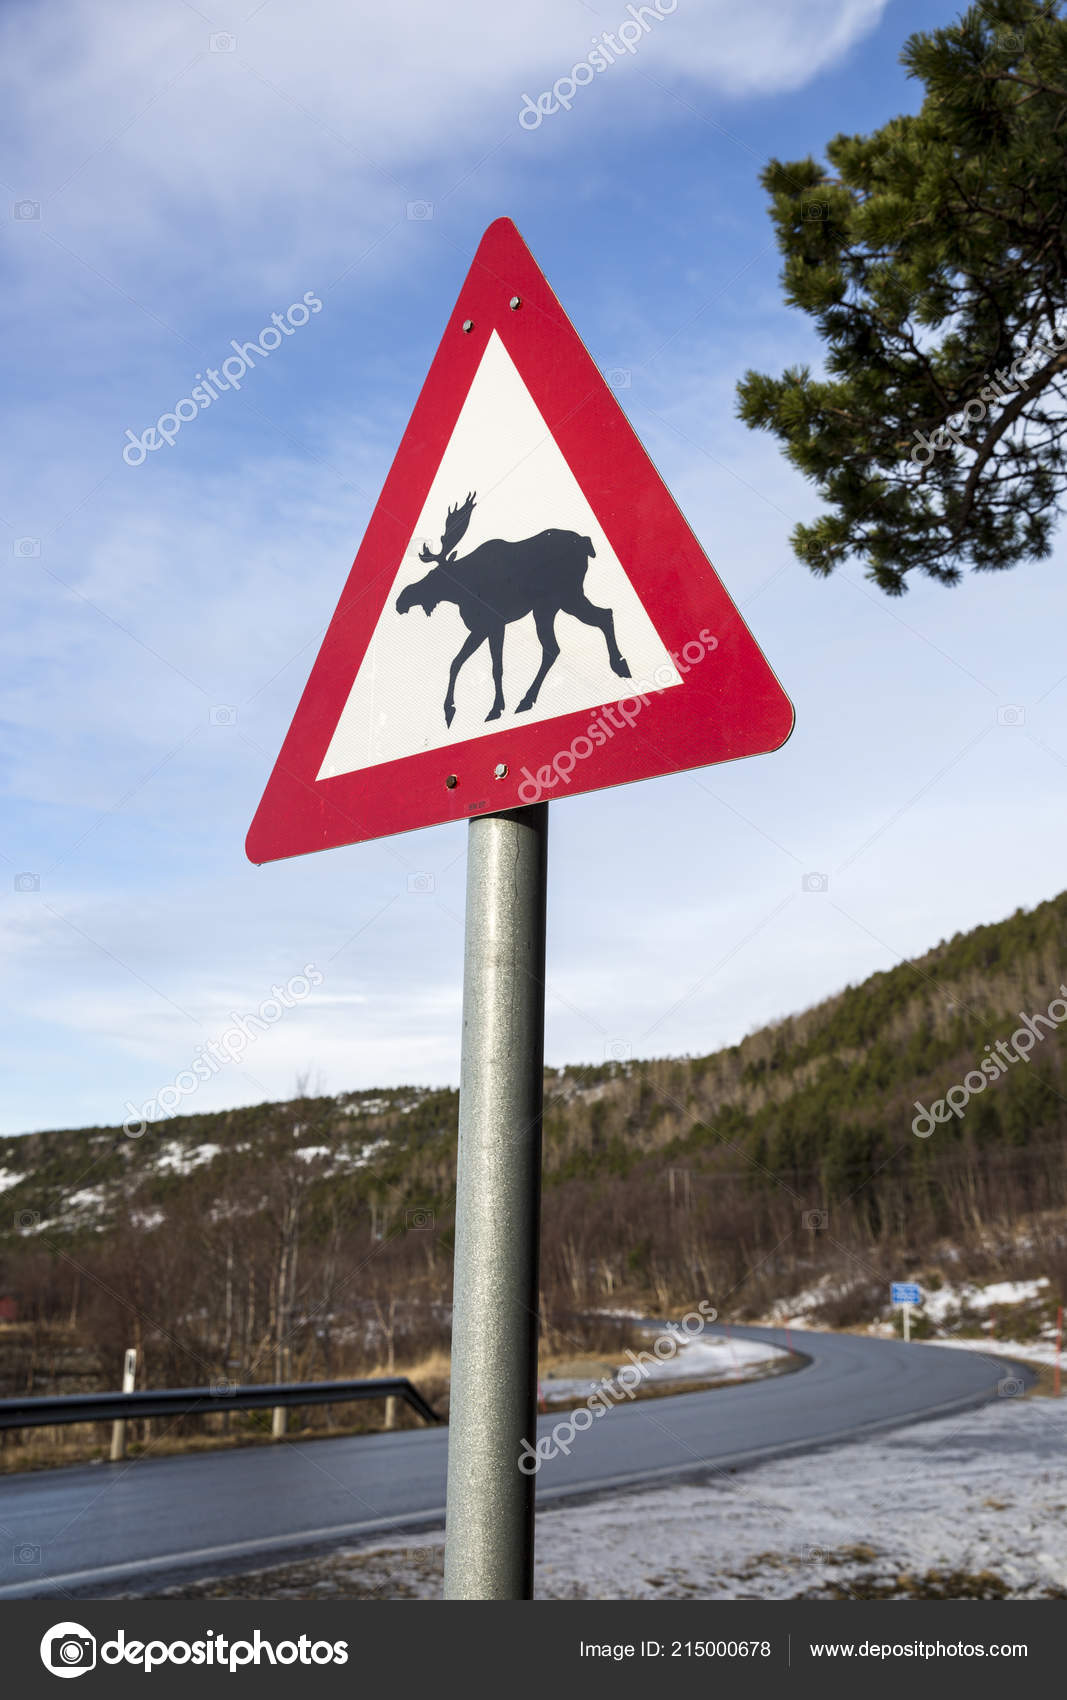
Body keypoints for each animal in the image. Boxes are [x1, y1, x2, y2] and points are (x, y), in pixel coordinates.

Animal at [395, 493, 631, 727]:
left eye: (434, 576)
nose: (401, 600)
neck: (464, 588)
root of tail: (584, 541)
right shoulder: (482, 628)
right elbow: (456, 662)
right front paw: (450, 710)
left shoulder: (493, 624)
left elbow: (495, 667)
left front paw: (495, 708)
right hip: (562, 603)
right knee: (599, 618)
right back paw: (619, 667)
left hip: (558, 601)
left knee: (561, 642)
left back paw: (527, 699)